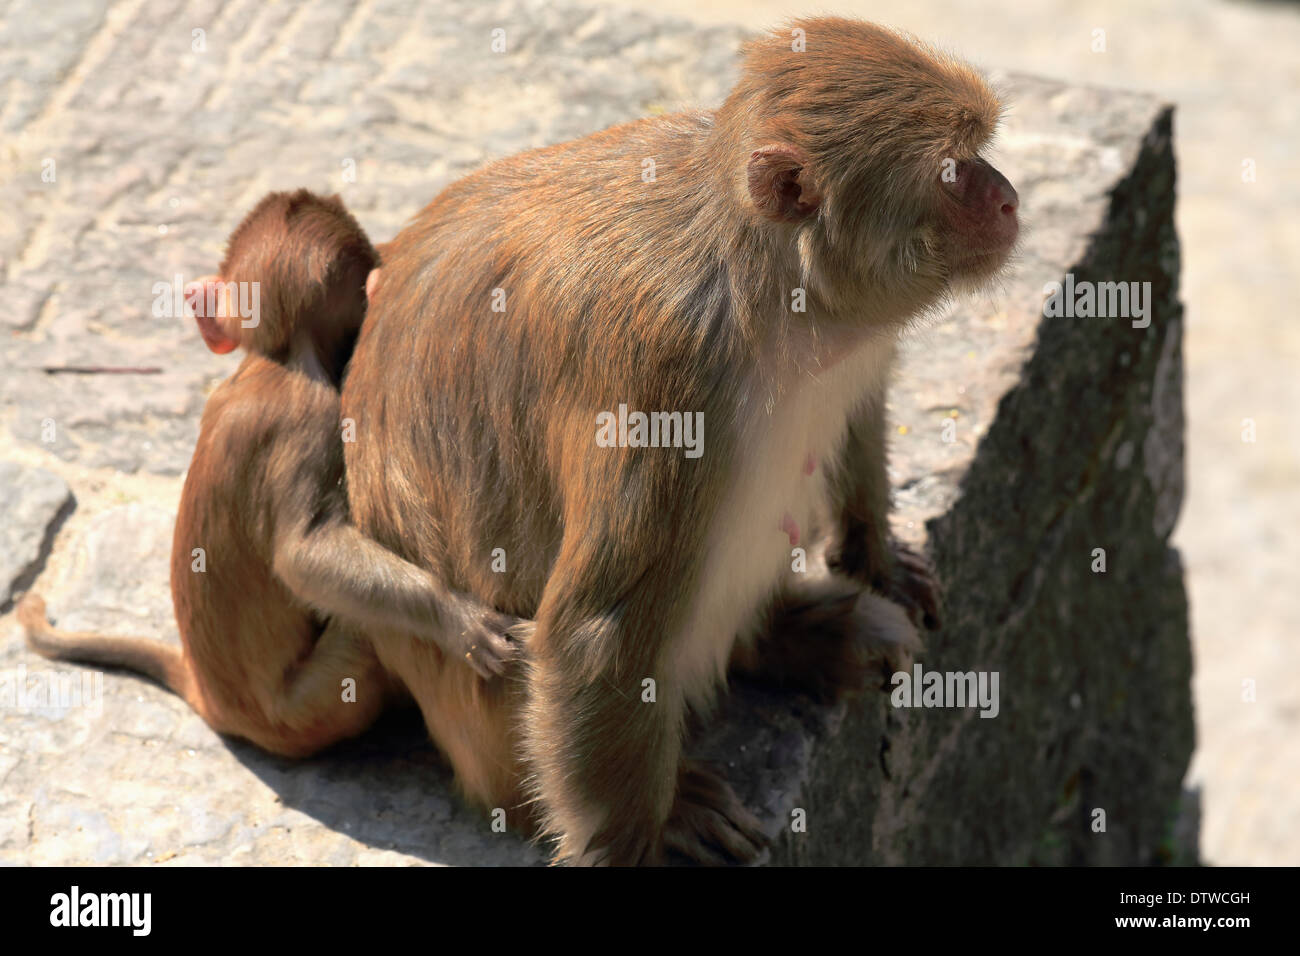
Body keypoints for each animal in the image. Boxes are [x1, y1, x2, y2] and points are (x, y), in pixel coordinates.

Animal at [19, 189, 527, 759]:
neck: (282, 360)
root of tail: (216, 702)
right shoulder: (315, 418)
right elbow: (303, 555)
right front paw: (457, 618)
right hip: (312, 706)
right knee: (360, 633)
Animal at [337, 16, 1018, 864]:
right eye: (954, 170)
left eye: (979, 151)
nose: (1009, 197)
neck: (780, 297)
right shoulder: (667, 376)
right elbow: (594, 633)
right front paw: (637, 840)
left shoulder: (857, 332)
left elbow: (859, 417)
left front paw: (880, 559)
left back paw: (800, 632)